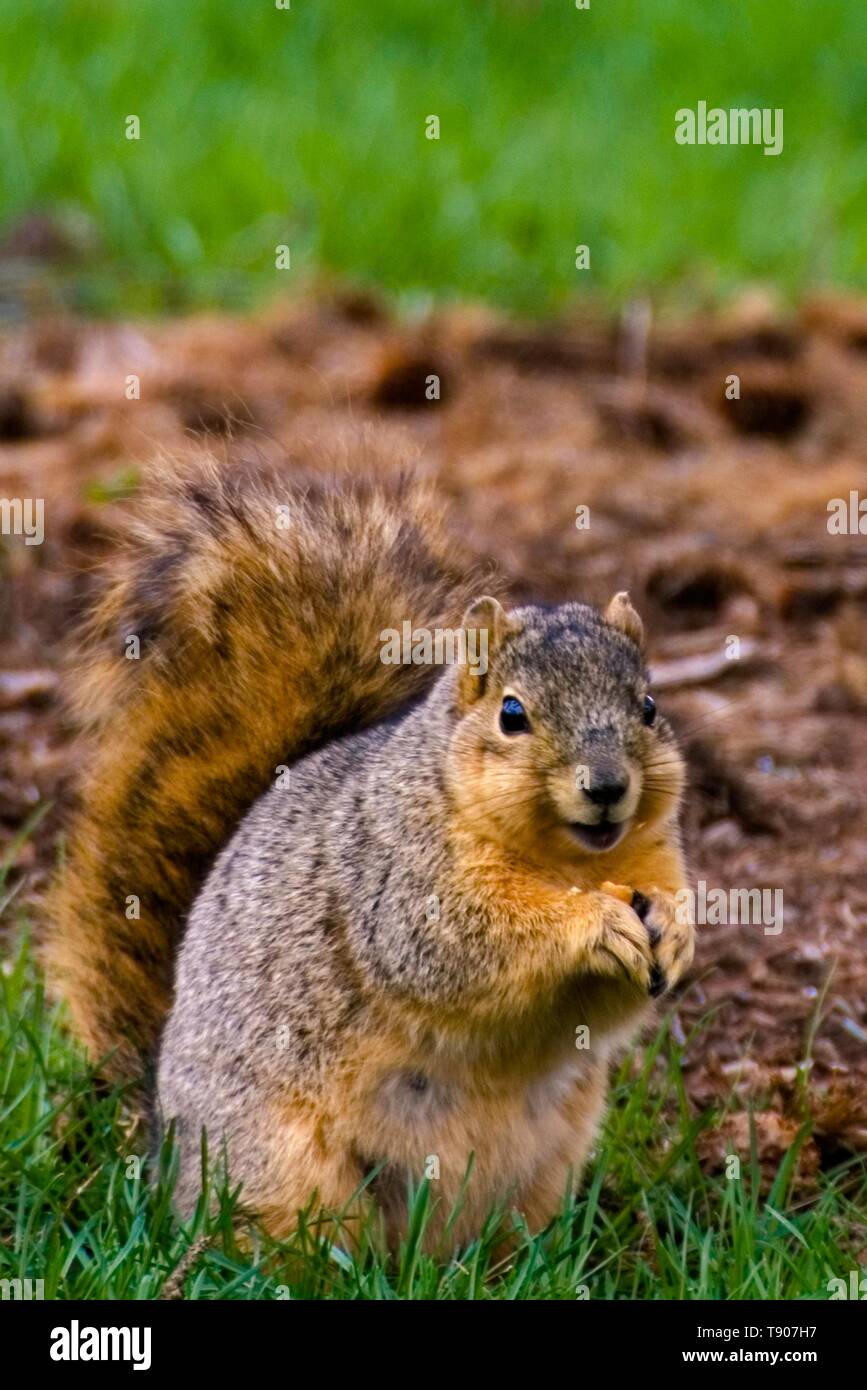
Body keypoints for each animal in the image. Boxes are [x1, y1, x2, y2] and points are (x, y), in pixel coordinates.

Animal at [46, 448, 693, 1249]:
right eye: (512, 714)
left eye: (649, 707)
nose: (606, 786)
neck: (572, 863)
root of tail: (167, 1150)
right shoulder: (398, 879)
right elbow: (461, 943)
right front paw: (594, 925)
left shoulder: (652, 857)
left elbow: (613, 1003)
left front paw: (675, 931)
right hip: (283, 1172)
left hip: (546, 1168)